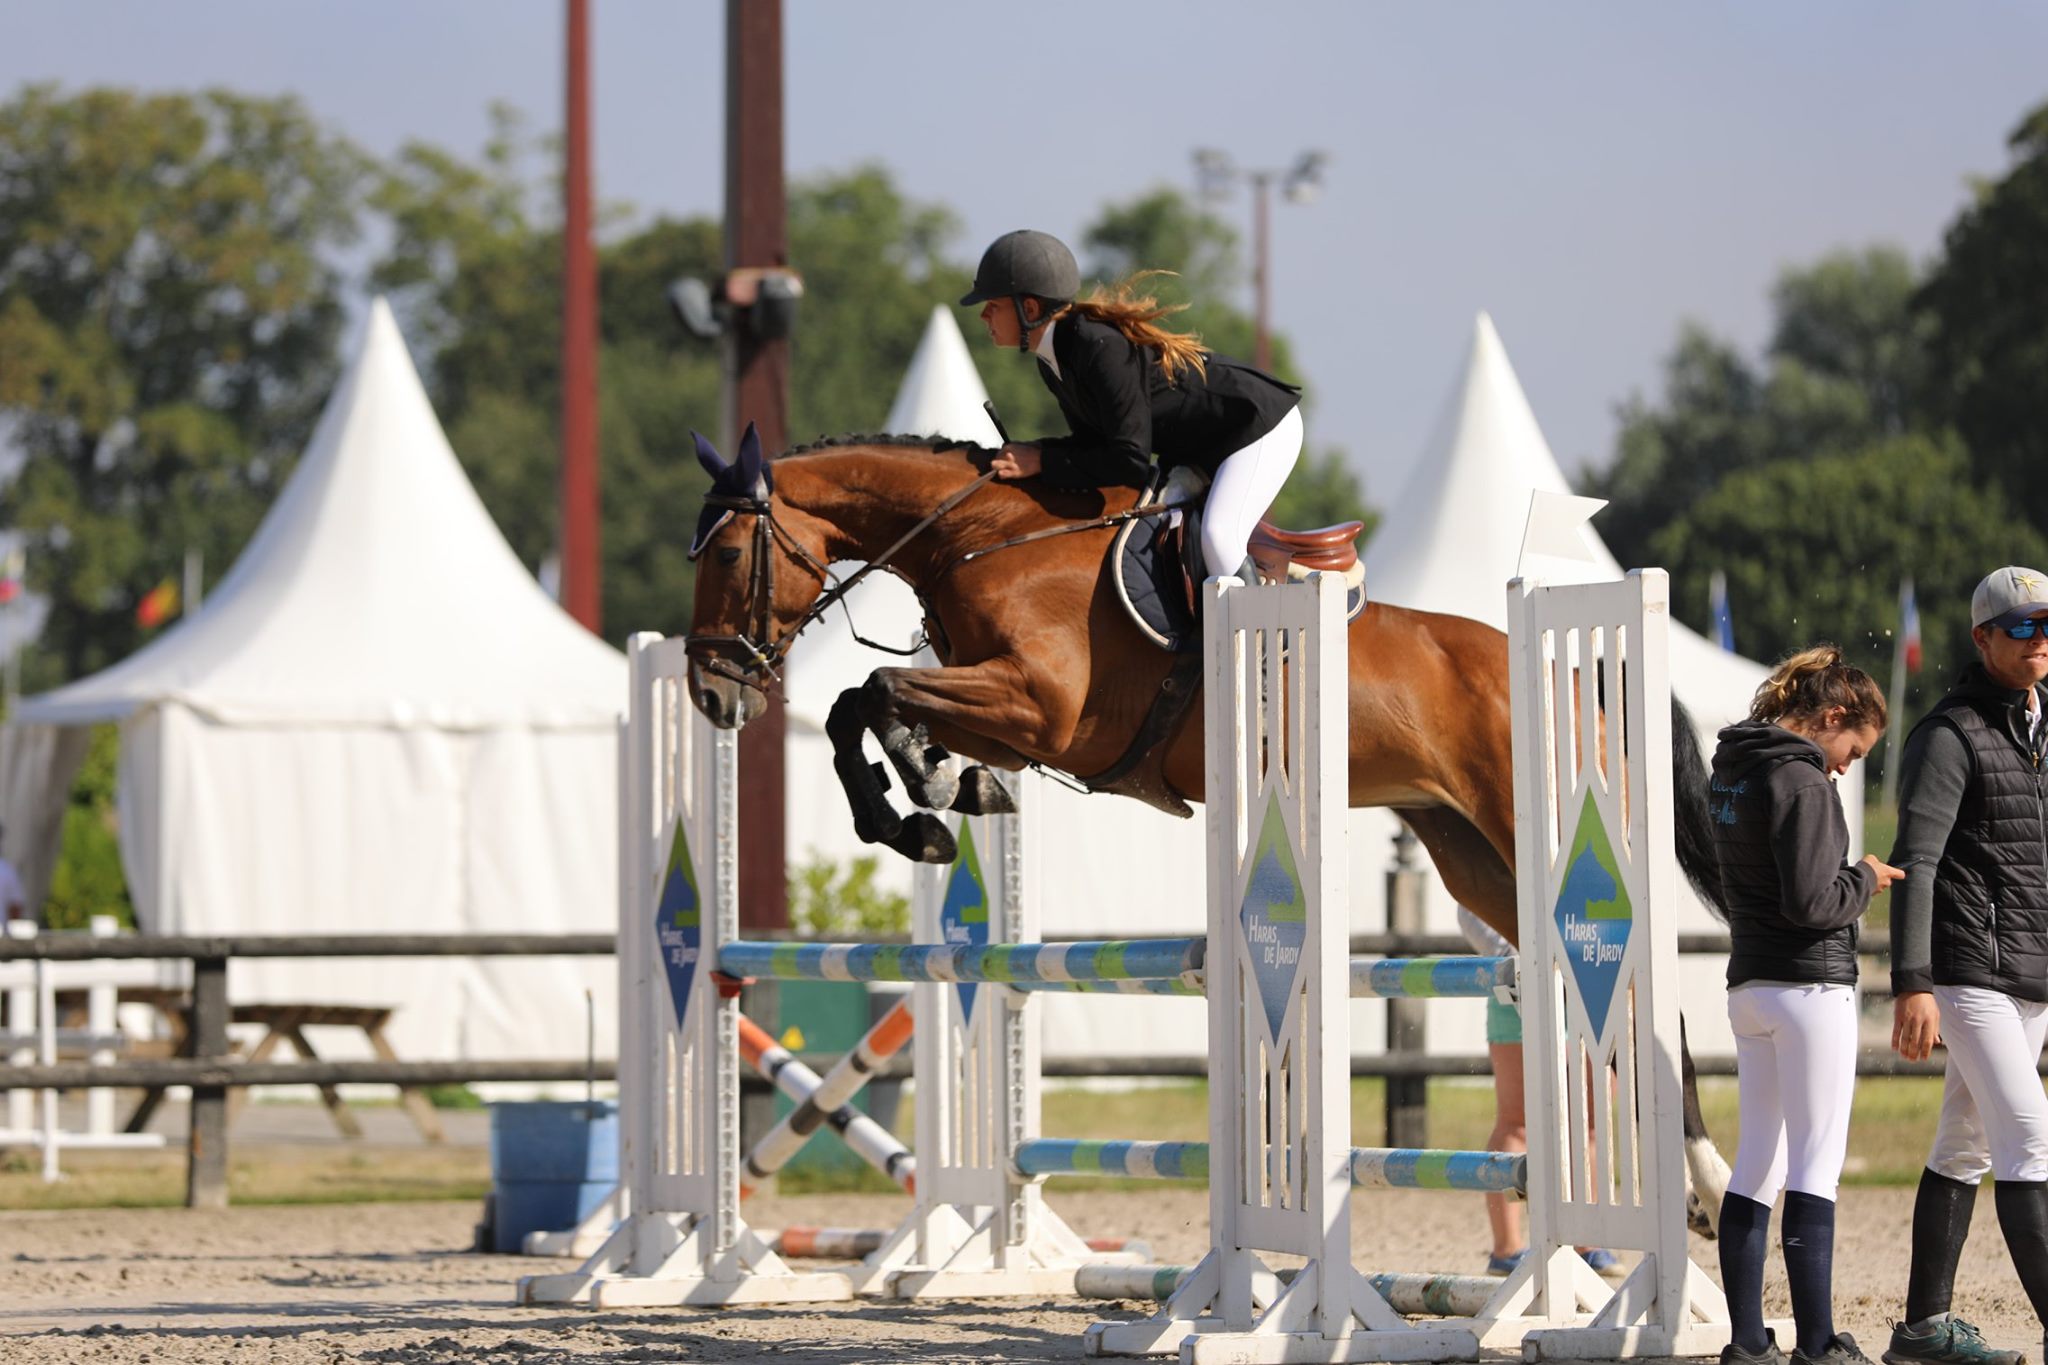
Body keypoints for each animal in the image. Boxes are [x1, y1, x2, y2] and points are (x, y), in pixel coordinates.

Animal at [683, 425, 1731, 1230]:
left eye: (729, 555)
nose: (709, 693)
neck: (987, 537)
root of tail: (1578, 670)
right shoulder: (1008, 717)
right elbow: (864, 704)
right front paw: (939, 797)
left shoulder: (1038, 706)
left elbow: (877, 689)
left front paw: (929, 802)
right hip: (1473, 856)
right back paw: (1679, 1193)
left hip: (1528, 829)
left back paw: (1709, 1189)